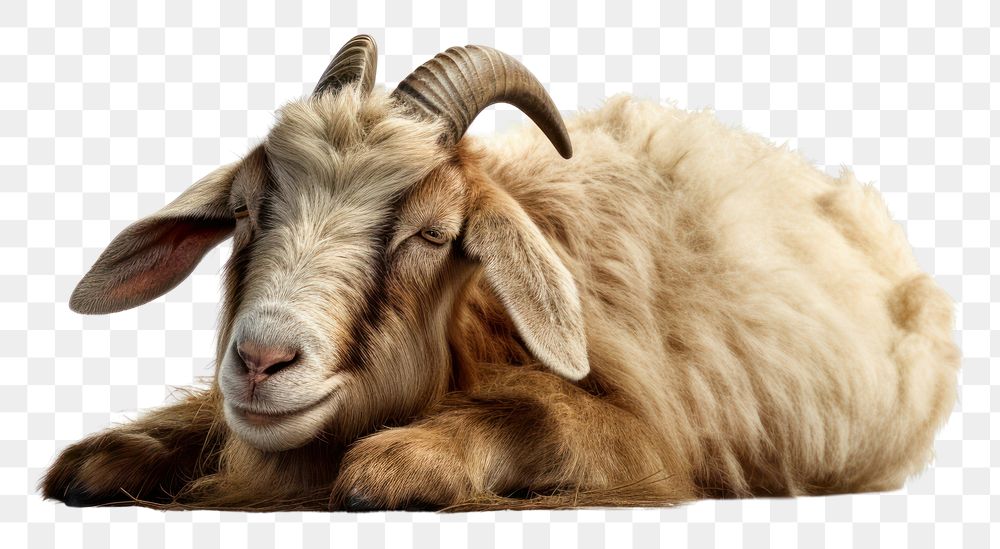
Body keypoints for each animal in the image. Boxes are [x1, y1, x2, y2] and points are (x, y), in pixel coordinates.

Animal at [42, 35, 960, 511]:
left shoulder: (650, 444)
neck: (477, 324)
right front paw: (111, 453)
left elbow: (543, 417)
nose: (263, 360)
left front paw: (398, 463)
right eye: (240, 211)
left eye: (434, 232)